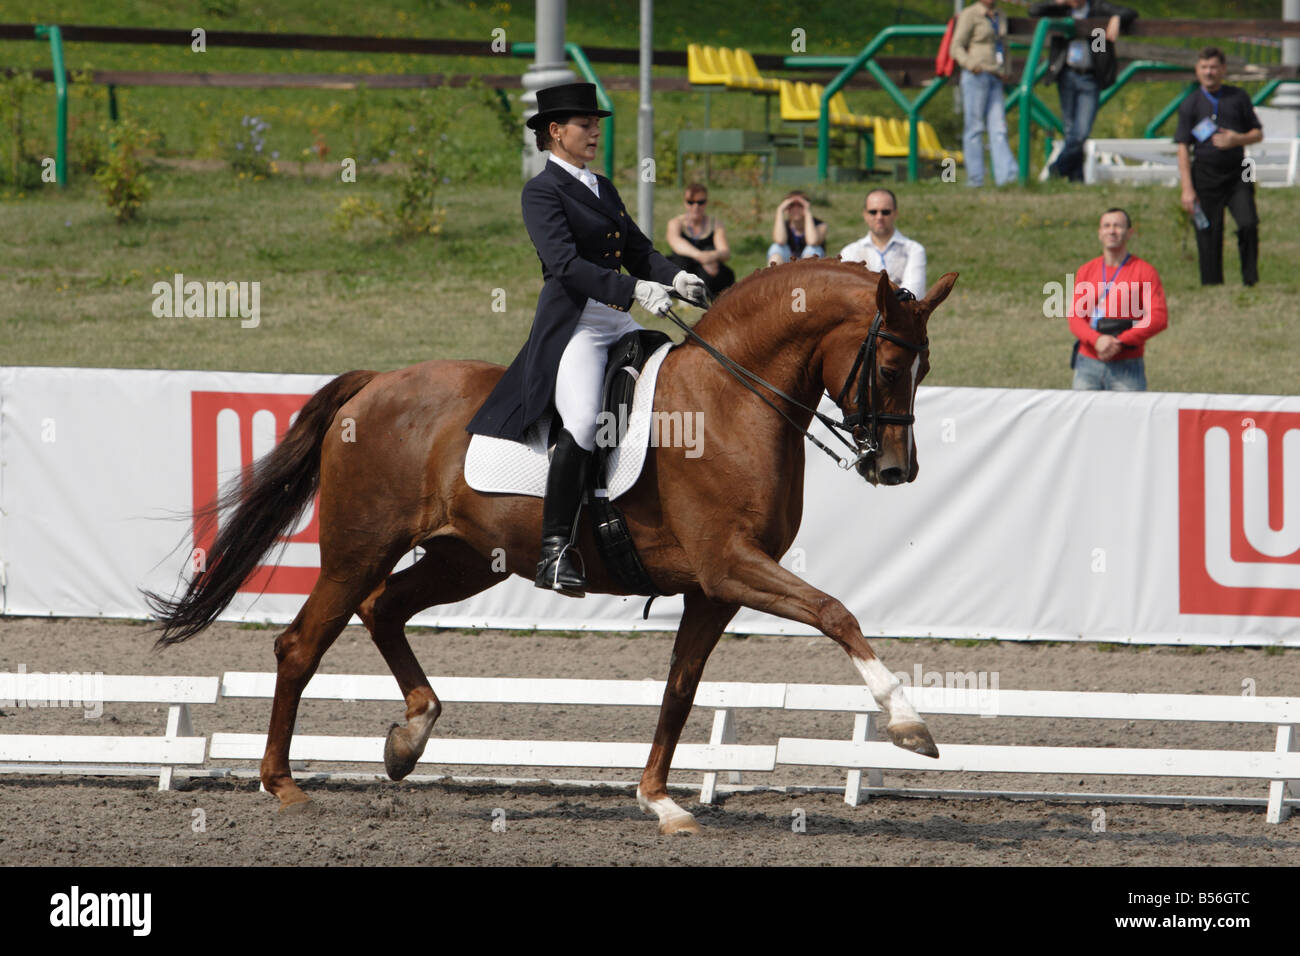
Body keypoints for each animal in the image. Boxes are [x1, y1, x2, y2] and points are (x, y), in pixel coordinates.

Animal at [149, 259, 958, 835]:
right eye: (892, 367)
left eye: (927, 368)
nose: (896, 470)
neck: (730, 403)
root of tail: (376, 383)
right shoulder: (732, 566)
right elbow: (836, 612)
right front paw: (909, 726)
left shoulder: (713, 590)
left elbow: (681, 688)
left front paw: (660, 801)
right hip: (360, 550)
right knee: (302, 644)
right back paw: (284, 786)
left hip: (463, 560)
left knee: (384, 611)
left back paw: (409, 737)